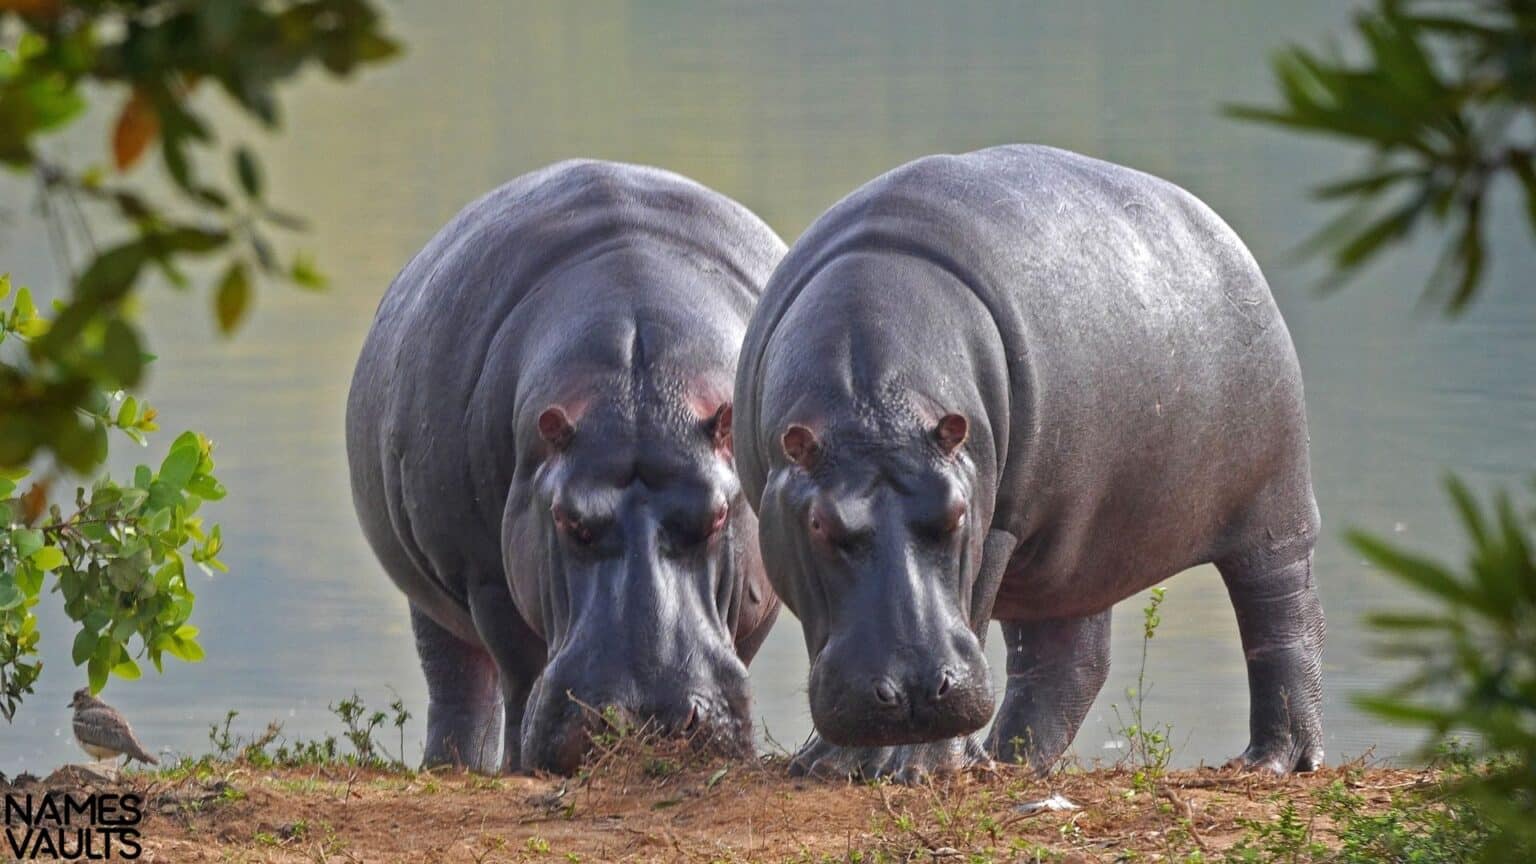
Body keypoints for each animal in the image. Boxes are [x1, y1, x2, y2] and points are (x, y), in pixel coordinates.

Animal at [347, 161, 784, 774]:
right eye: (566, 519)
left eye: (719, 515)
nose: (645, 719)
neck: (639, 391)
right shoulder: (487, 578)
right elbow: (521, 669)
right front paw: (519, 765)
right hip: (432, 598)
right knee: (460, 685)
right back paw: (455, 766)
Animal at [733, 144, 1323, 781]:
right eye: (819, 524)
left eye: (956, 512)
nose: (915, 692)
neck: (874, 405)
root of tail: (1221, 233)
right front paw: (826, 764)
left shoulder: (996, 525)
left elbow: (971, 609)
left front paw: (921, 768)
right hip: (1072, 546)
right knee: (1068, 658)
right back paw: (1009, 763)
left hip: (1273, 509)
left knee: (1284, 620)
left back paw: (1275, 761)